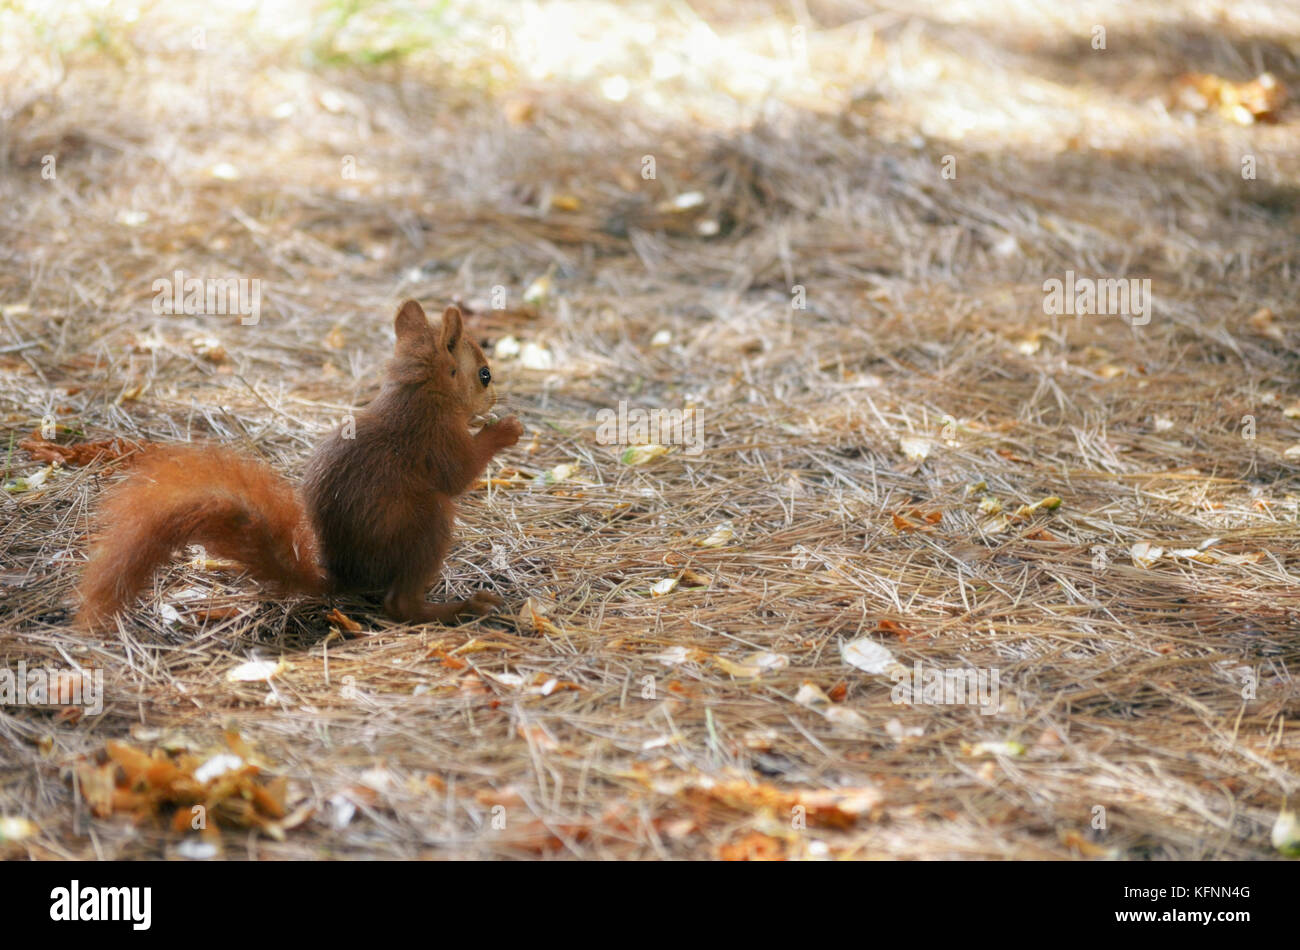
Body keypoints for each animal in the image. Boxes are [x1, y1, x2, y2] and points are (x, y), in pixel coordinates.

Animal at [78, 299, 523, 629]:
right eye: (484, 374)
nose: (494, 399)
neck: (419, 392)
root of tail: (346, 576)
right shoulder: (435, 440)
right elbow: (460, 473)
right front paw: (506, 429)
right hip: (426, 523)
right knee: (400, 605)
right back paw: (460, 608)